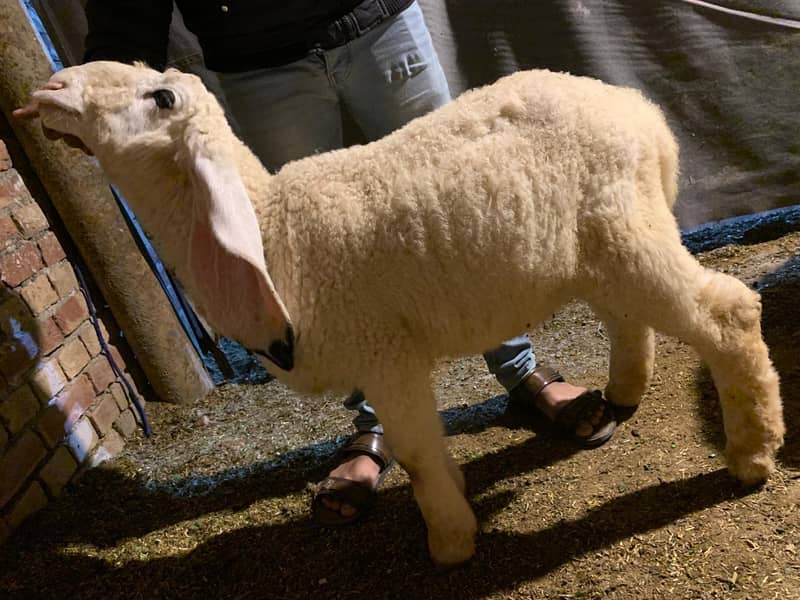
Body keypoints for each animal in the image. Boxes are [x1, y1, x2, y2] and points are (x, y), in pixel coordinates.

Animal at [18, 61, 784, 566]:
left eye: (161, 95)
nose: (49, 88)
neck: (274, 227)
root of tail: (640, 111)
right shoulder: (385, 359)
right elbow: (418, 447)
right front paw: (453, 509)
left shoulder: (387, 353)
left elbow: (416, 454)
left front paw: (450, 540)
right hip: (598, 246)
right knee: (631, 320)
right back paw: (622, 395)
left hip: (627, 233)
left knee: (728, 313)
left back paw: (752, 454)